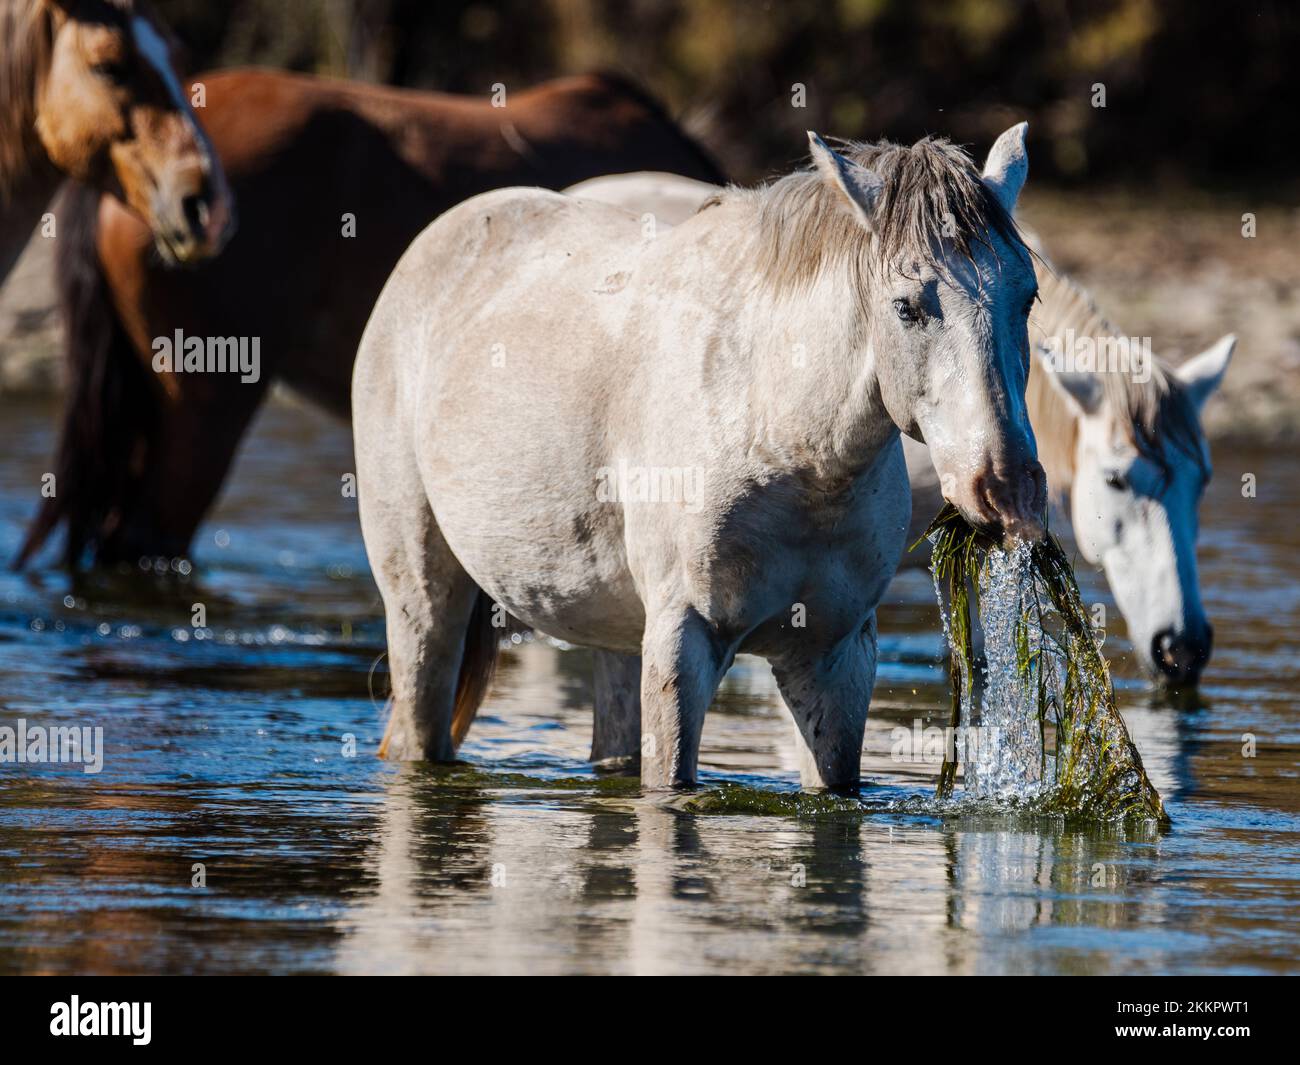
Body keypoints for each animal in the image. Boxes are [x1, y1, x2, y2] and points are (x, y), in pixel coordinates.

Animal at [352, 127, 1046, 790]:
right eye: (907, 307)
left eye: (1028, 299)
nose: (1007, 488)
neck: (785, 441)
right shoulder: (682, 641)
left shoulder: (835, 657)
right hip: (423, 601)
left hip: (618, 634)